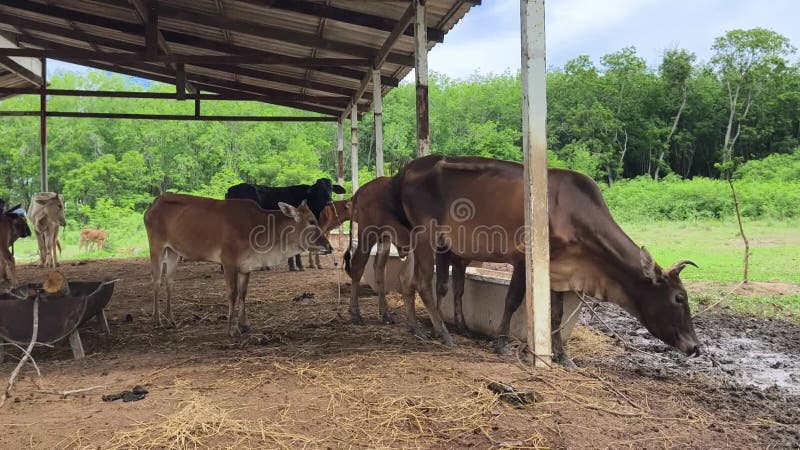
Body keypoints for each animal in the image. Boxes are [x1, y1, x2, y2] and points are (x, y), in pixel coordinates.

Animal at [144, 194, 333, 335]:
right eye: (312, 222)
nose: (329, 247)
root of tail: (154, 204)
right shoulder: (228, 263)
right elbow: (233, 294)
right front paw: (232, 328)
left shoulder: (246, 266)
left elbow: (243, 293)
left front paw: (245, 324)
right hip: (157, 248)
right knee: (156, 280)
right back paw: (157, 319)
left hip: (173, 252)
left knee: (169, 282)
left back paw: (171, 320)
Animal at [391, 155, 700, 364]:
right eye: (679, 298)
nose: (695, 346)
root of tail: (406, 170)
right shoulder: (523, 259)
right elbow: (512, 300)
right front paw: (502, 343)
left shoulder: (559, 272)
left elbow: (556, 314)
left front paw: (562, 356)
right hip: (426, 236)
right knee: (422, 281)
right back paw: (443, 333)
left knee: (412, 281)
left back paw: (421, 328)